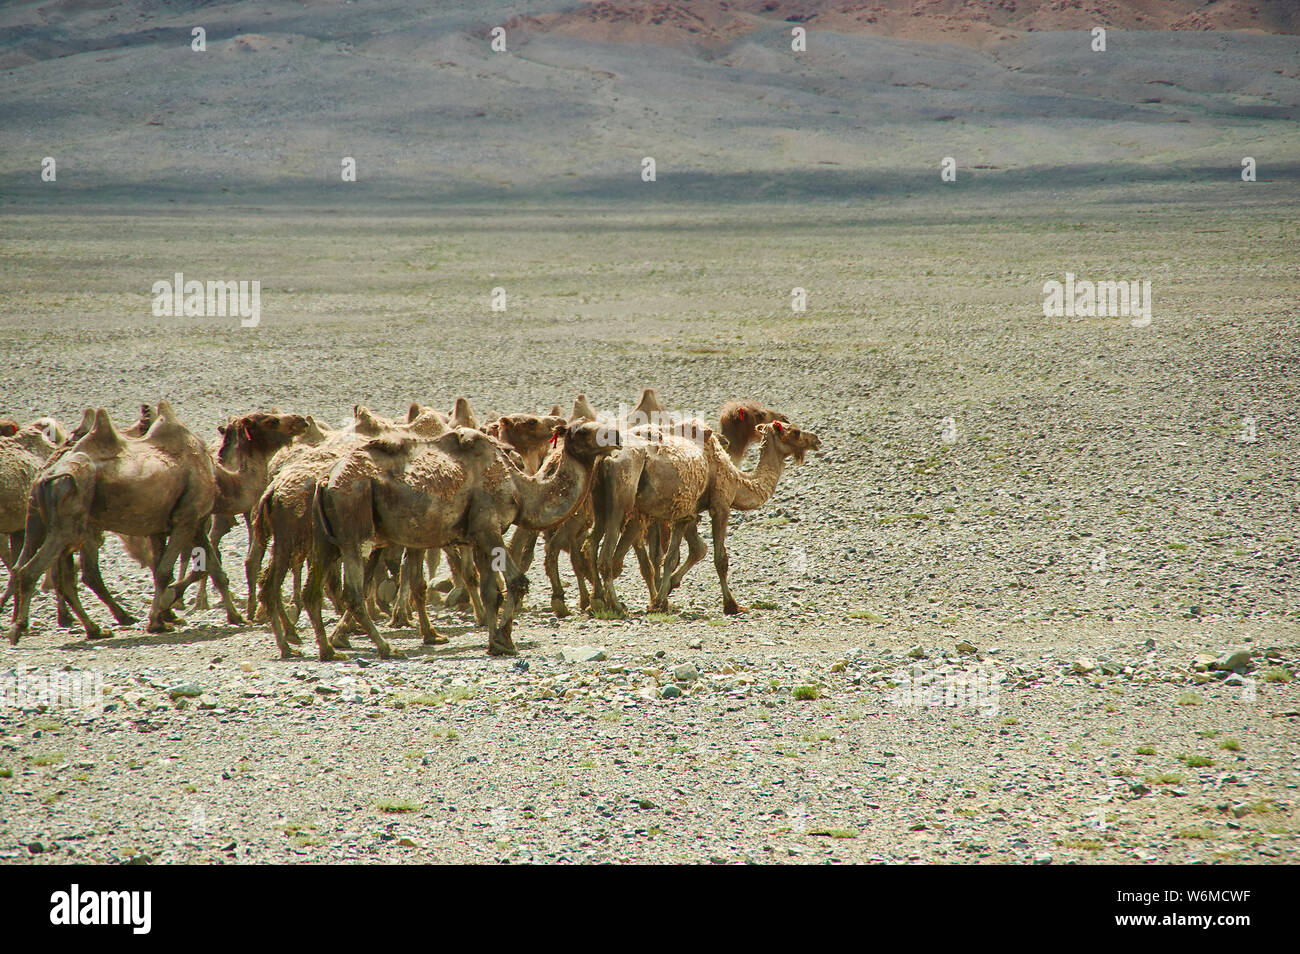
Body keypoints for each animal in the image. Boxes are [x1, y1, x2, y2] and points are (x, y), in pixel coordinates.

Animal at [7, 401, 247, 641]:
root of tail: (47, 474)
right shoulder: (186, 519)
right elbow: (164, 571)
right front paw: (157, 621)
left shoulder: (182, 525)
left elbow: (213, 570)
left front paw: (236, 617)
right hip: (68, 524)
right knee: (40, 570)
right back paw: (20, 628)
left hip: (37, 518)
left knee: (36, 569)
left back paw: (94, 628)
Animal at [309, 420, 618, 660]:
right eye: (583, 430)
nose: (616, 437)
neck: (519, 487)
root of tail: (327, 481)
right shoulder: (488, 528)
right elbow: (516, 582)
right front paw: (505, 639)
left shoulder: (479, 537)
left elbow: (491, 591)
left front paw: (495, 642)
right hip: (354, 523)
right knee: (354, 592)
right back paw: (387, 648)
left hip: (329, 540)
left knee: (315, 590)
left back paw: (330, 649)